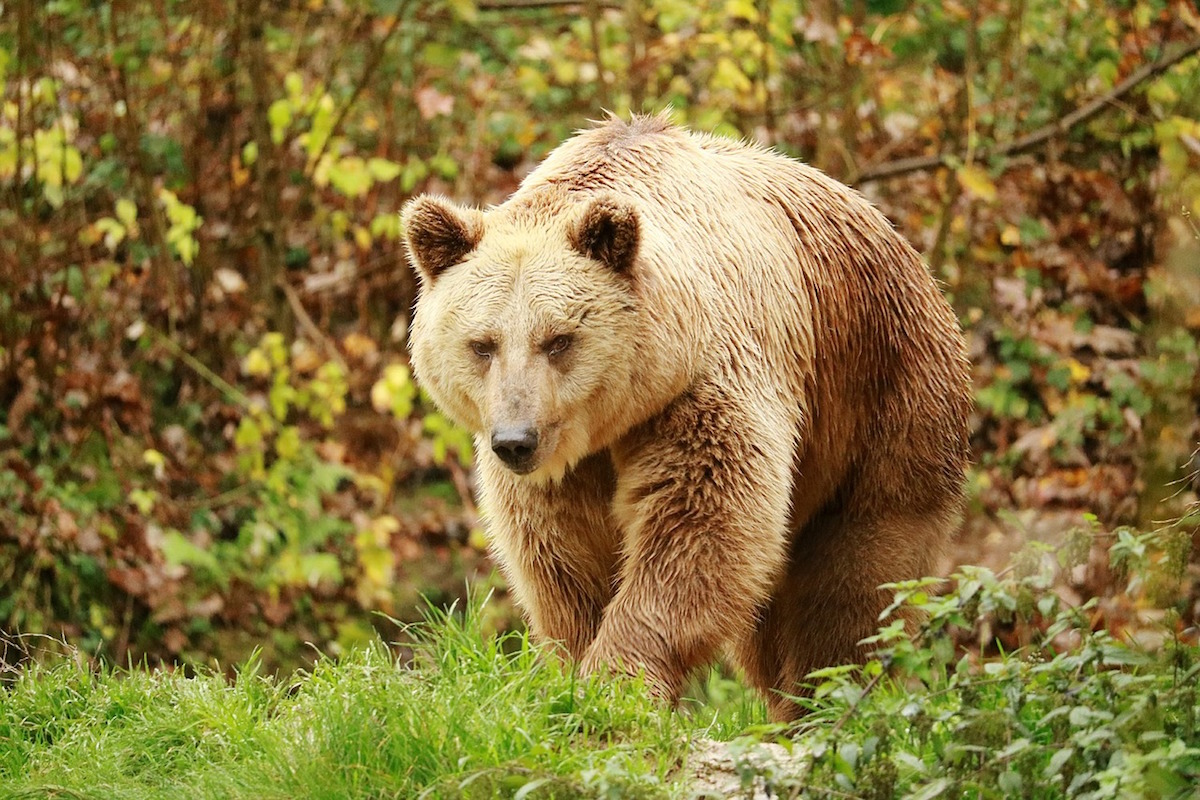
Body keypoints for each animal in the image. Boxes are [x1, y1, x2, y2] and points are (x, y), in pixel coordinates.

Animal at [401, 114, 971, 721]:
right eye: (482, 344)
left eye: (558, 340)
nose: (516, 440)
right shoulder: (566, 467)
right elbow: (564, 555)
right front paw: (574, 671)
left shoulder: (700, 388)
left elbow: (701, 525)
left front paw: (619, 681)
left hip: (880, 398)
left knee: (856, 581)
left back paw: (825, 701)